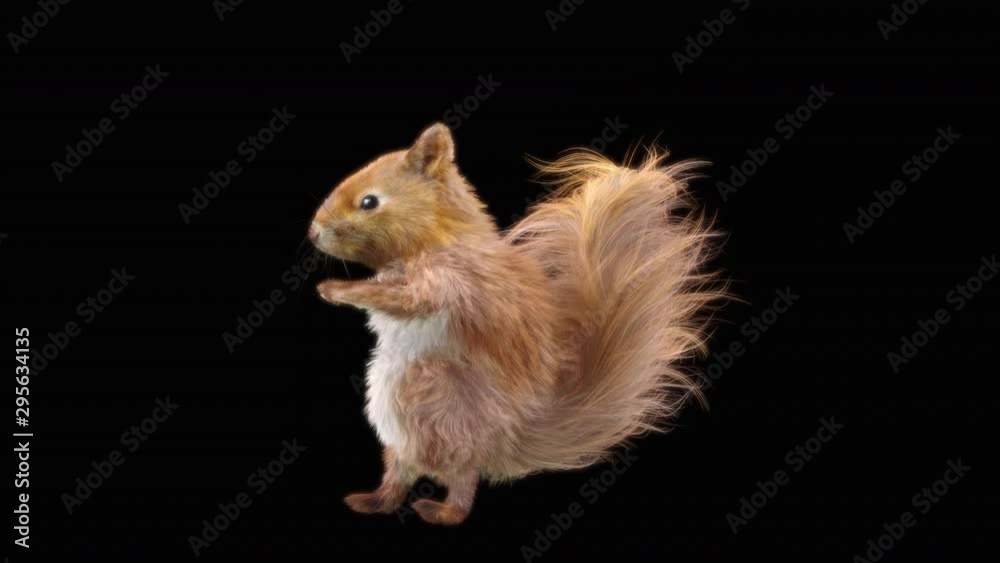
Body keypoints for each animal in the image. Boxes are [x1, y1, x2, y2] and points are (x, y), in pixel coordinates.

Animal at [309, 123, 725, 525]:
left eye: (369, 202)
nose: (313, 232)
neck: (438, 237)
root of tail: (505, 442)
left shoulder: (453, 280)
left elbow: (408, 299)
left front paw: (337, 289)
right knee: (399, 475)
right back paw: (374, 501)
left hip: (442, 402)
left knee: (461, 479)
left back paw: (443, 512)